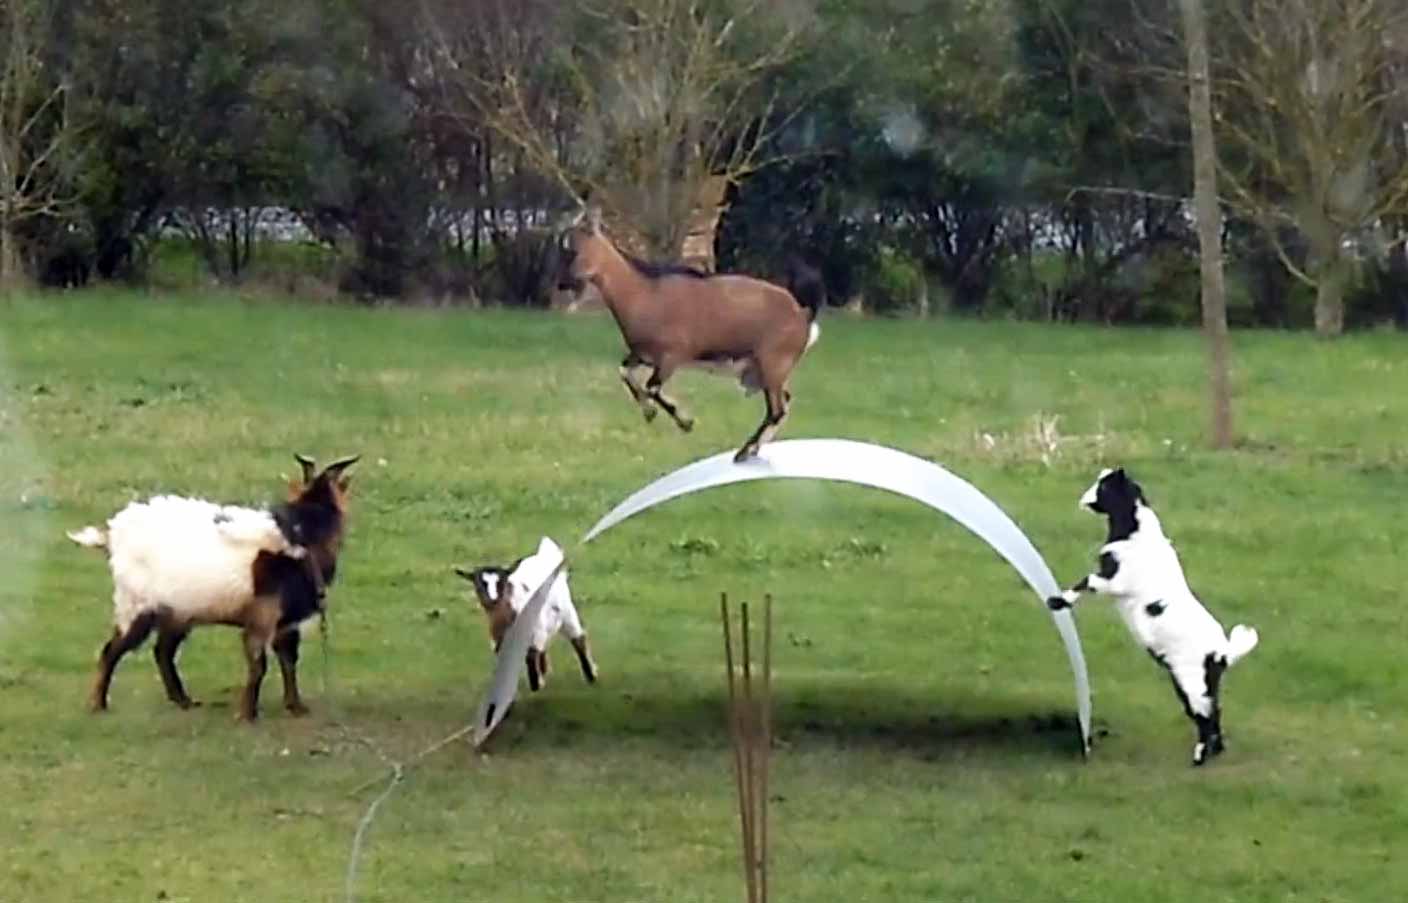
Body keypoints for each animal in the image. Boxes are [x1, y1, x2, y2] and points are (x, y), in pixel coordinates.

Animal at [69, 454, 359, 720]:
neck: (301, 536)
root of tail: (113, 533)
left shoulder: (286, 621)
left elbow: (288, 659)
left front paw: (296, 707)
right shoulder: (263, 614)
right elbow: (259, 663)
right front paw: (247, 715)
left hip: (176, 611)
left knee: (162, 651)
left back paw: (183, 700)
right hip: (137, 605)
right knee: (113, 649)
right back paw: (98, 704)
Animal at [454, 537, 598, 692]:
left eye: (502, 583)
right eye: (479, 585)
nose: (493, 600)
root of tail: (543, 556)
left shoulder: (534, 633)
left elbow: (531, 656)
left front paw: (535, 685)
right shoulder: (500, 641)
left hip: (566, 612)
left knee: (577, 639)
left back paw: (590, 675)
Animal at [556, 206, 821, 462]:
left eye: (573, 250)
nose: (561, 284)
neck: (644, 294)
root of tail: (803, 315)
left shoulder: (672, 356)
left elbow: (652, 387)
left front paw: (685, 422)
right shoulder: (642, 355)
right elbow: (625, 372)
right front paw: (649, 412)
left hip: (773, 364)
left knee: (777, 409)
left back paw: (744, 452)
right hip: (768, 371)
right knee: (784, 404)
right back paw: (753, 449)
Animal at [1047, 467, 1259, 765]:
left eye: (1104, 487)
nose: (1083, 500)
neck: (1136, 533)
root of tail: (1222, 653)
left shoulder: (1116, 580)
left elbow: (1086, 581)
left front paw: (1056, 602)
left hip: (1191, 681)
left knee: (1205, 715)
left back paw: (1199, 756)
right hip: (1199, 682)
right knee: (1214, 709)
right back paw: (1214, 751)